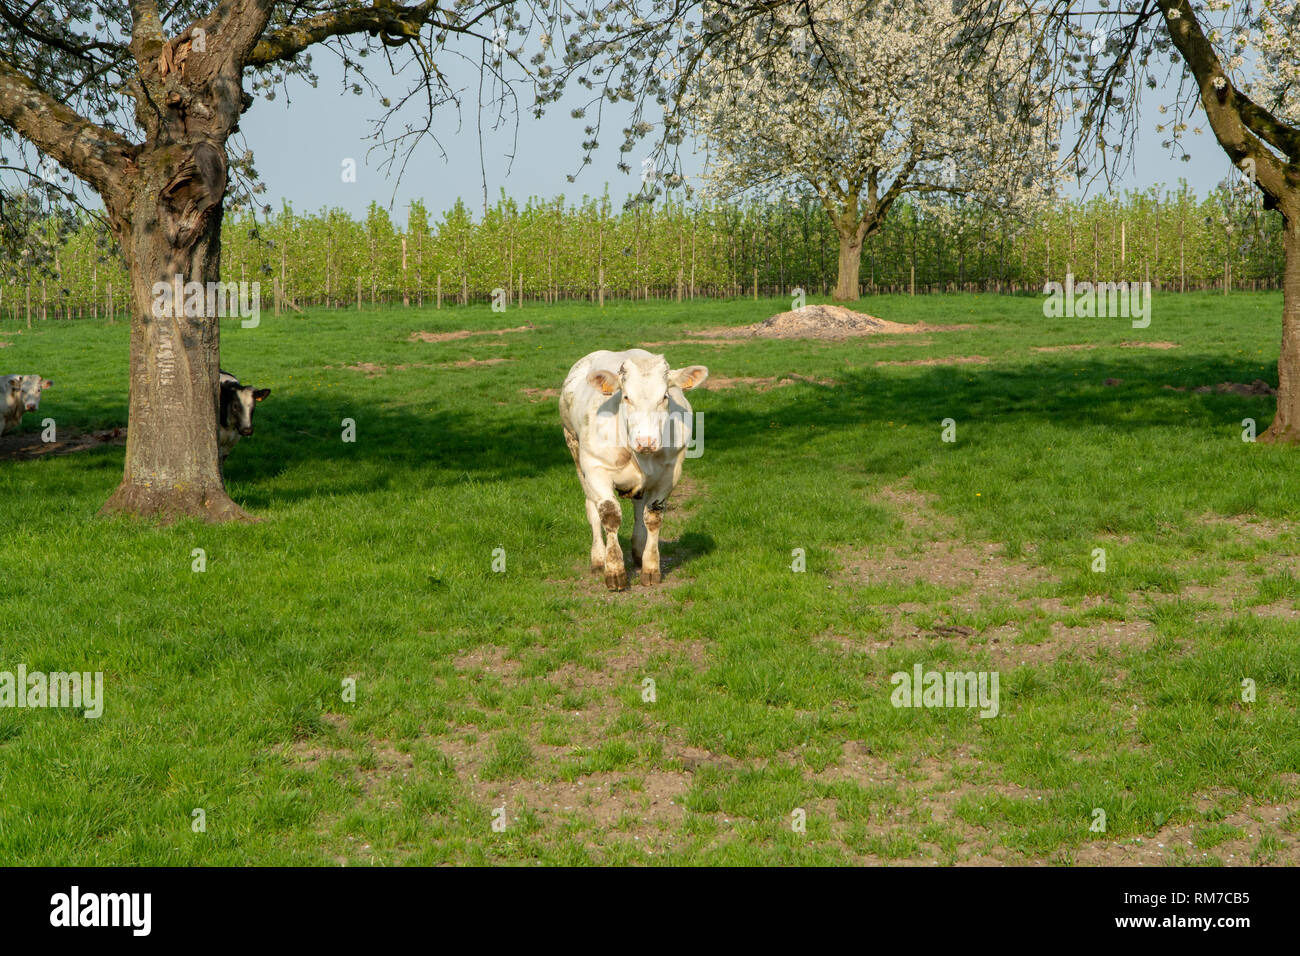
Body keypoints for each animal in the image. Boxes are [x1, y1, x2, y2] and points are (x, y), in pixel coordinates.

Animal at [560, 349, 708, 590]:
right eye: (627, 396)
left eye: (664, 397)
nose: (645, 441)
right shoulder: (595, 467)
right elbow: (609, 515)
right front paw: (614, 571)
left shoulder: (670, 473)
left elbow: (653, 516)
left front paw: (651, 568)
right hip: (573, 446)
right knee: (592, 507)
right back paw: (598, 558)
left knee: (639, 510)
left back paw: (638, 552)